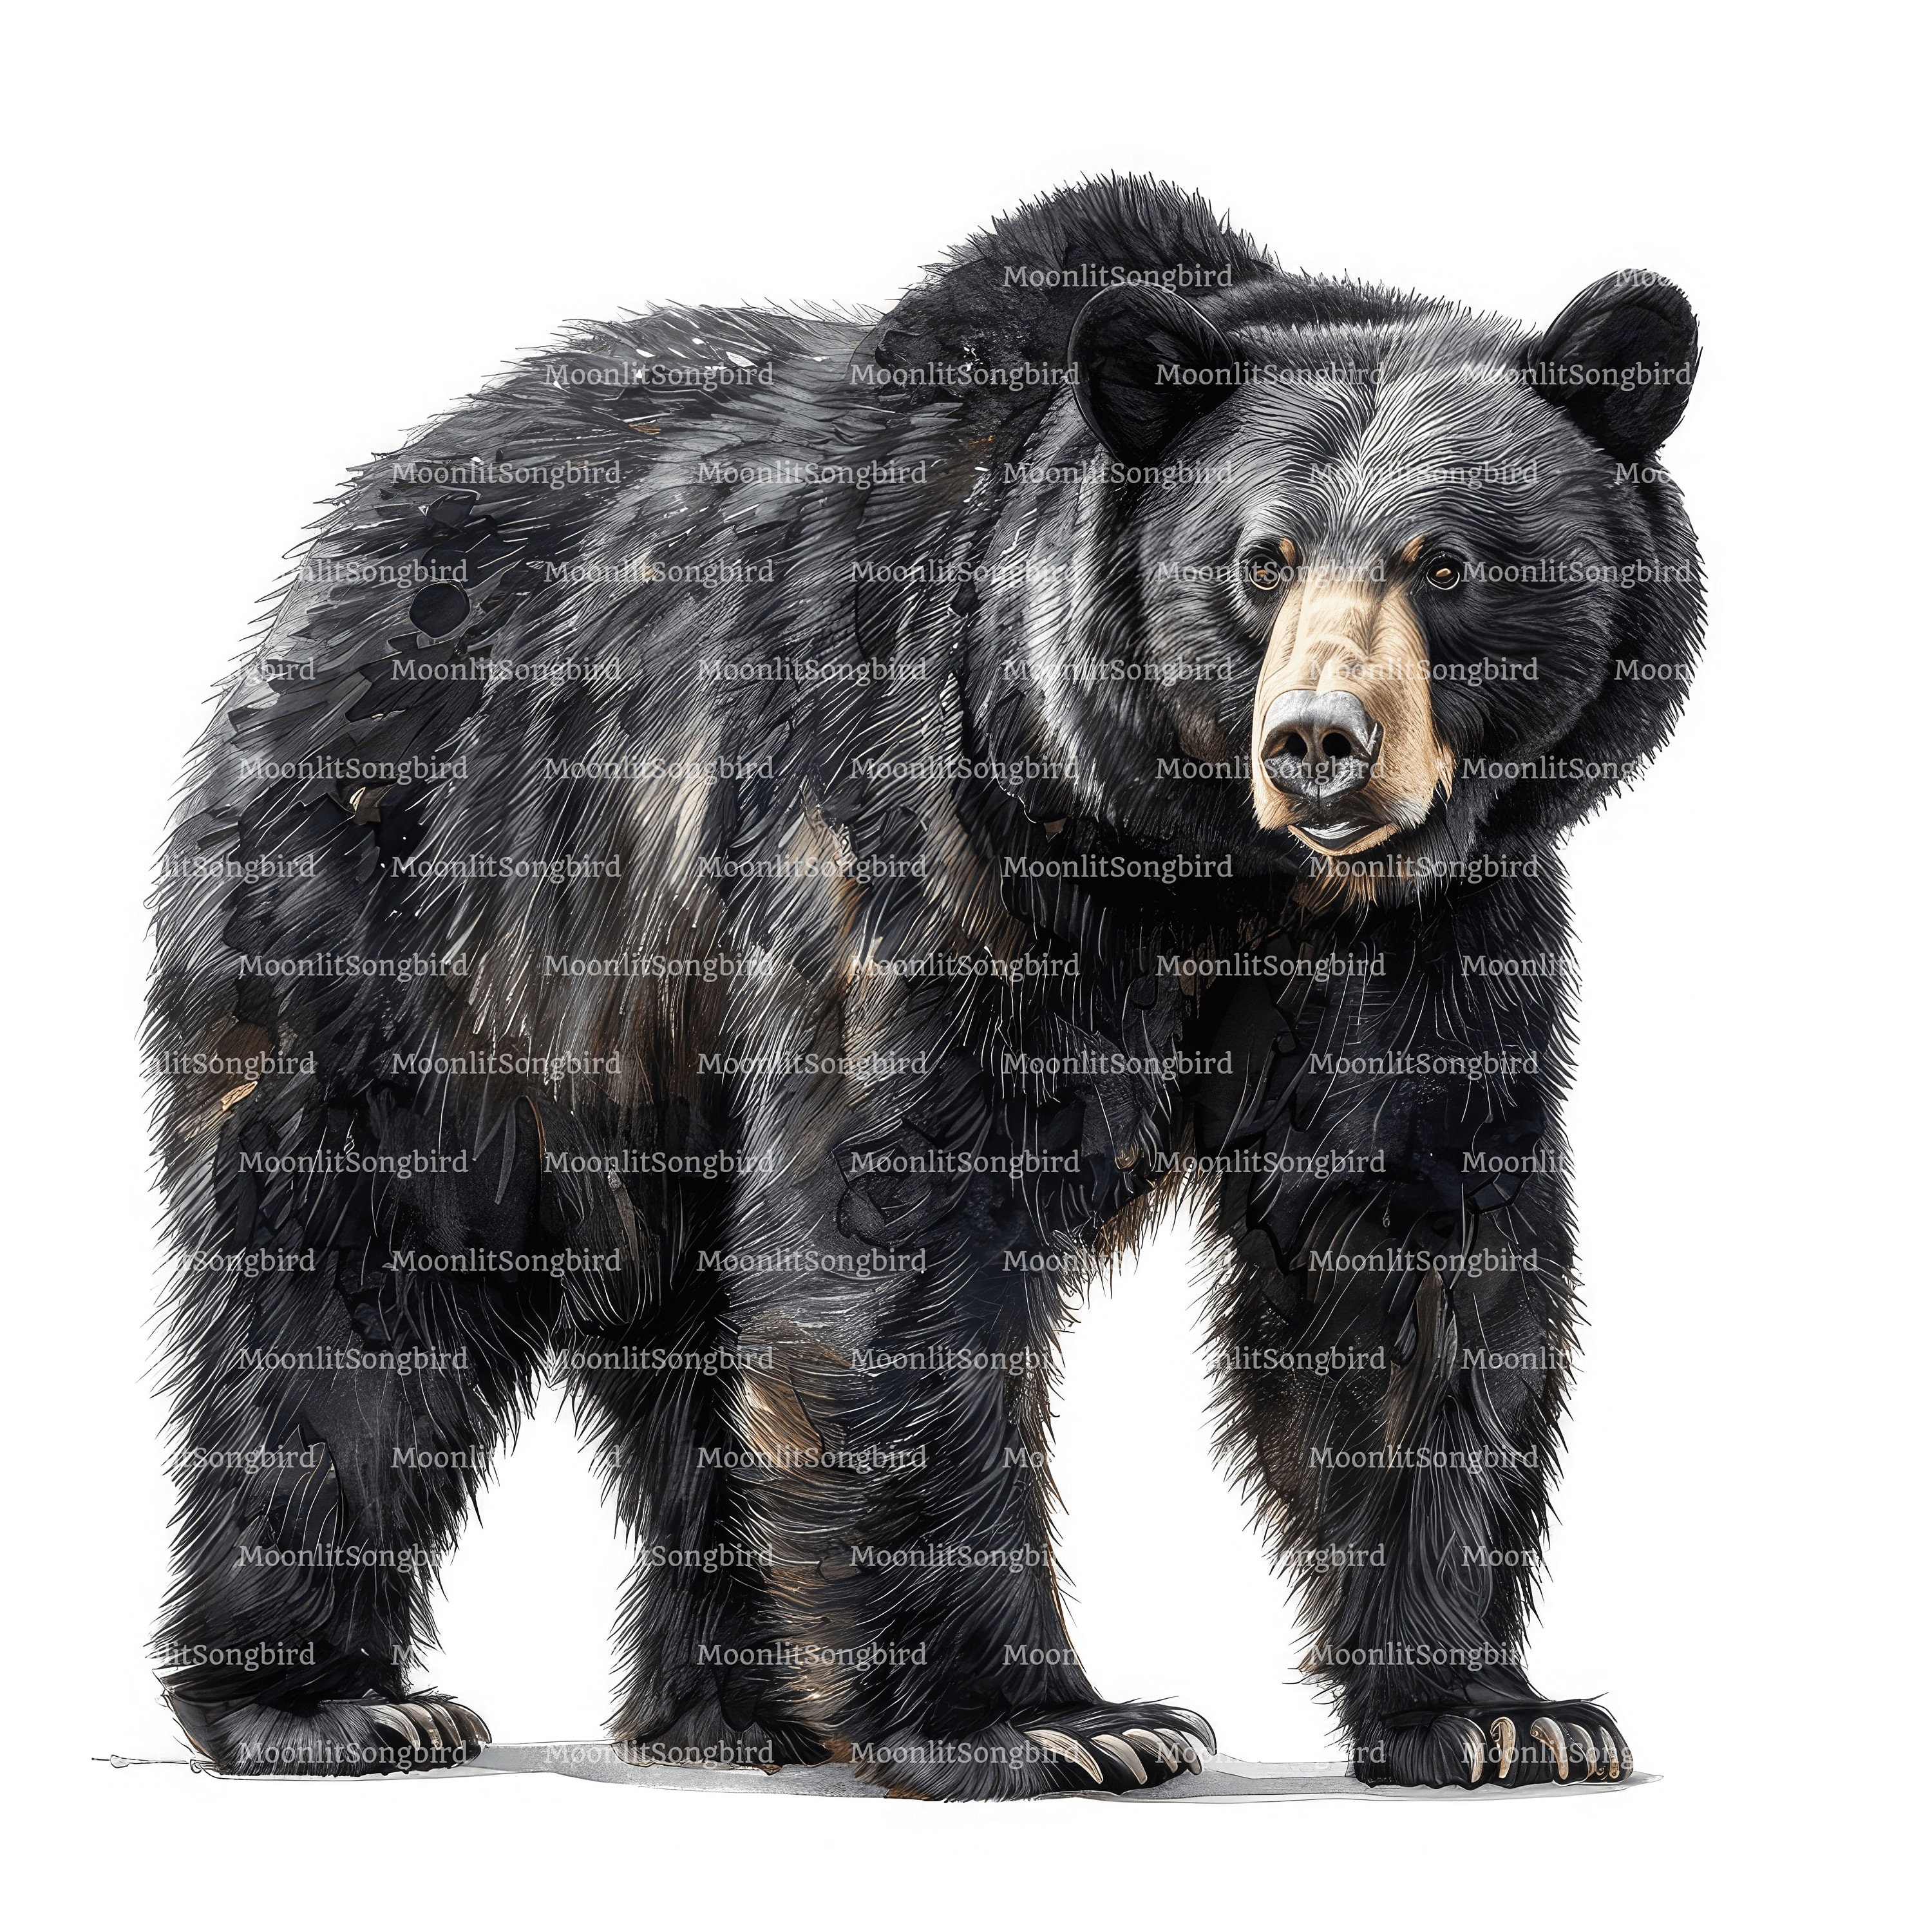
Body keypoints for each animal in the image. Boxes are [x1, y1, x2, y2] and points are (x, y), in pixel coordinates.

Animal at [149, 176, 1700, 1797]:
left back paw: (738, 1706)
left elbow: (1405, 1237)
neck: (1203, 869)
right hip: (423, 898)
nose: (1319, 742)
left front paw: (1497, 1710)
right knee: (355, 1264)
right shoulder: (924, 833)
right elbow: (902, 1214)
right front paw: (1052, 1718)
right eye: (1261, 558)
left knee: (689, 1338)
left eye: (1445, 562)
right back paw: (333, 1702)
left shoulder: (1428, 934)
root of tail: (348, 534)